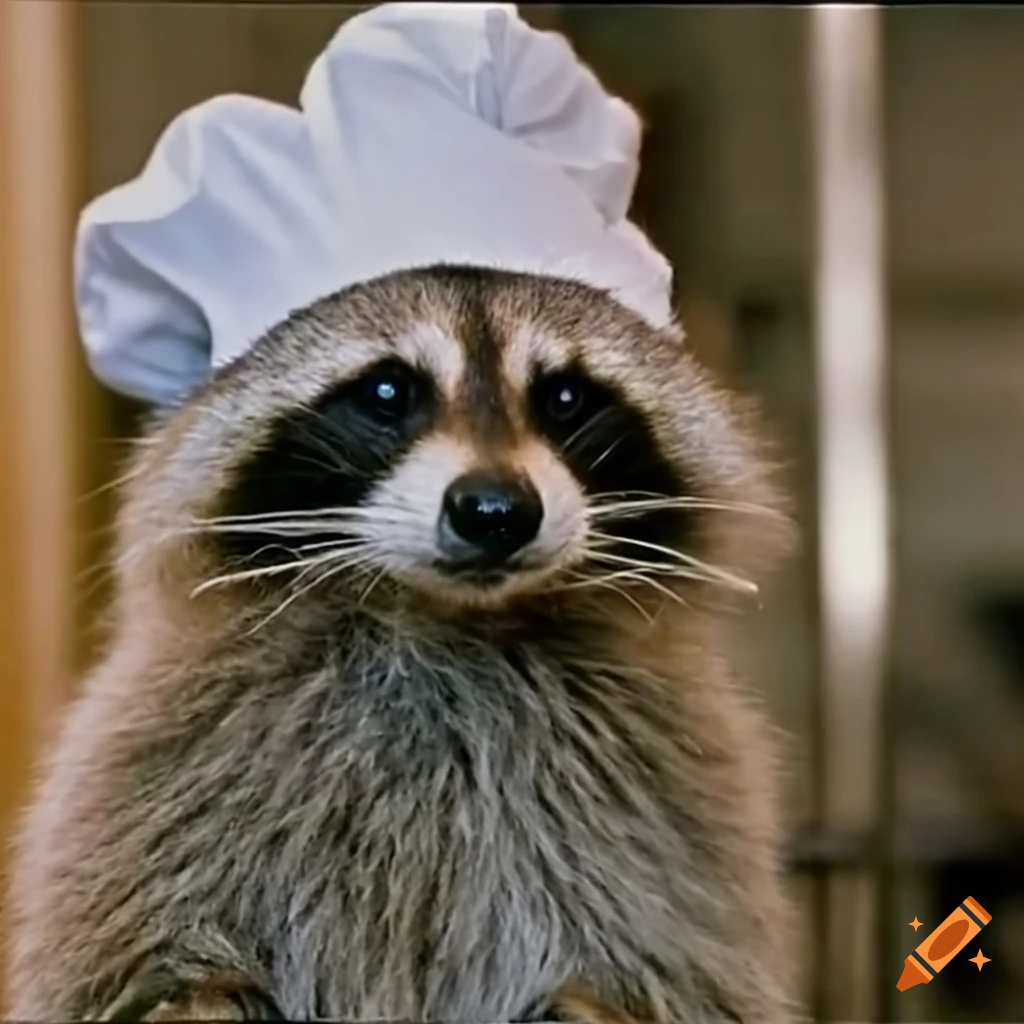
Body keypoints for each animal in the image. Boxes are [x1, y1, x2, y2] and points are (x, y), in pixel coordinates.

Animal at [7, 266, 794, 1024]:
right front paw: (195, 997)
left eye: (564, 398)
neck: (450, 620)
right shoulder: (147, 780)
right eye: (389, 391)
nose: (496, 511)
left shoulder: (685, 823)